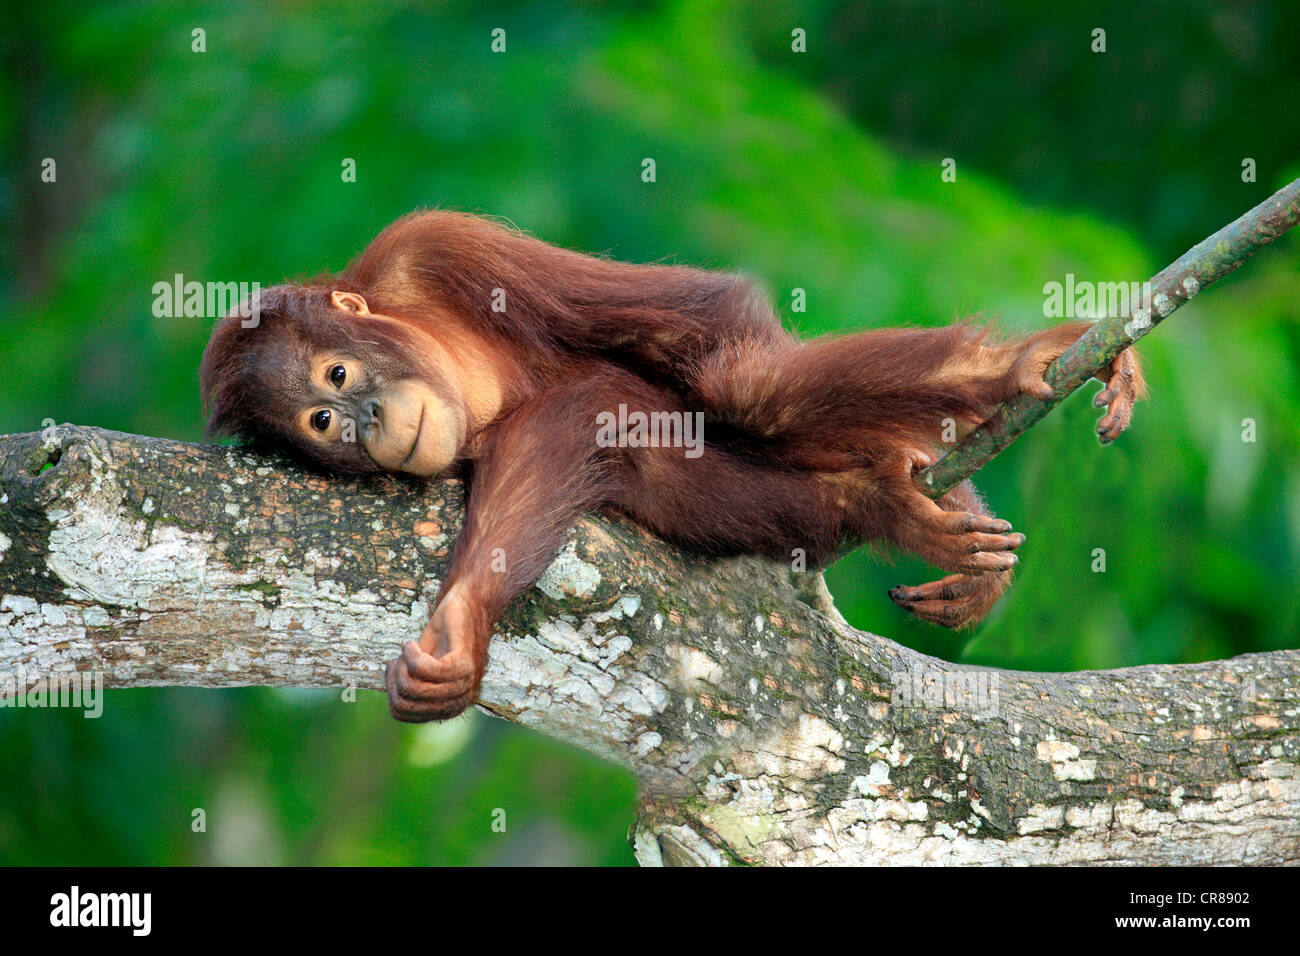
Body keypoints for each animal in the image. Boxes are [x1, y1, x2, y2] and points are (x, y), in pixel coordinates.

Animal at [200, 210, 1145, 722]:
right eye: (321, 423)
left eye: (336, 378)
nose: (365, 424)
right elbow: (593, 438)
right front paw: (461, 630)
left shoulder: (437, 247)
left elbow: (718, 347)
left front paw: (1011, 365)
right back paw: (884, 501)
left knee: (742, 391)